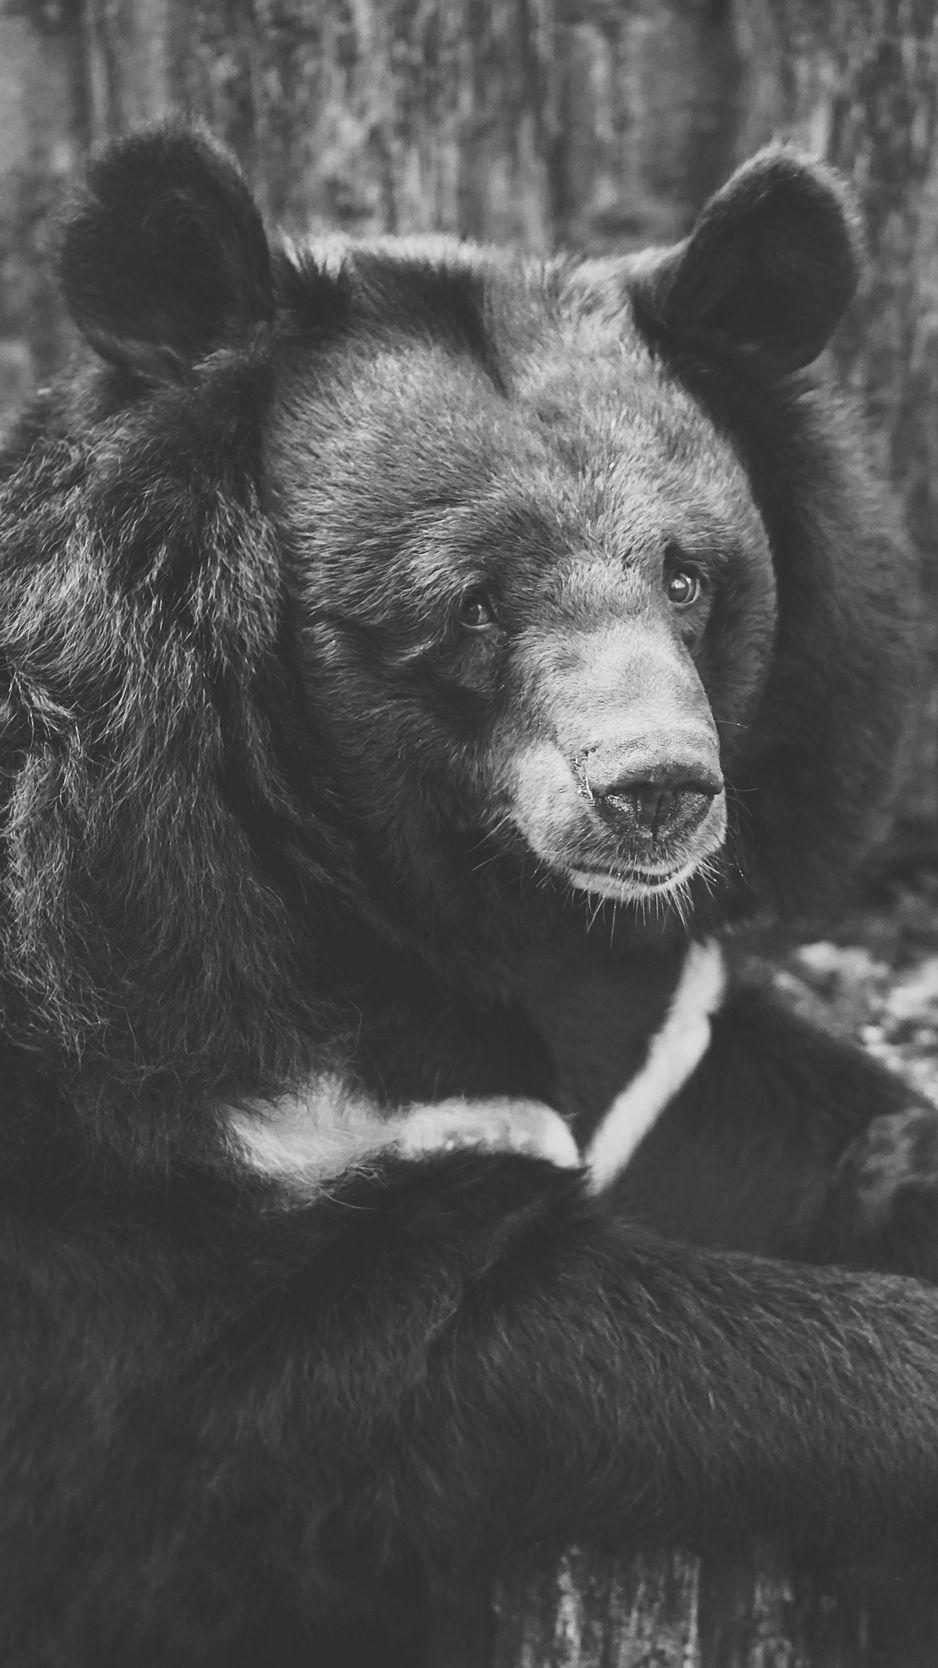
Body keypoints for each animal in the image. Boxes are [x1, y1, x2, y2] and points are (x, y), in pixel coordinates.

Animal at [1, 123, 938, 1667]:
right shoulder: (153, 1134)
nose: (657, 788)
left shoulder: (658, 1034)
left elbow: (783, 1115)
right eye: (472, 604)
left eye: (687, 578)